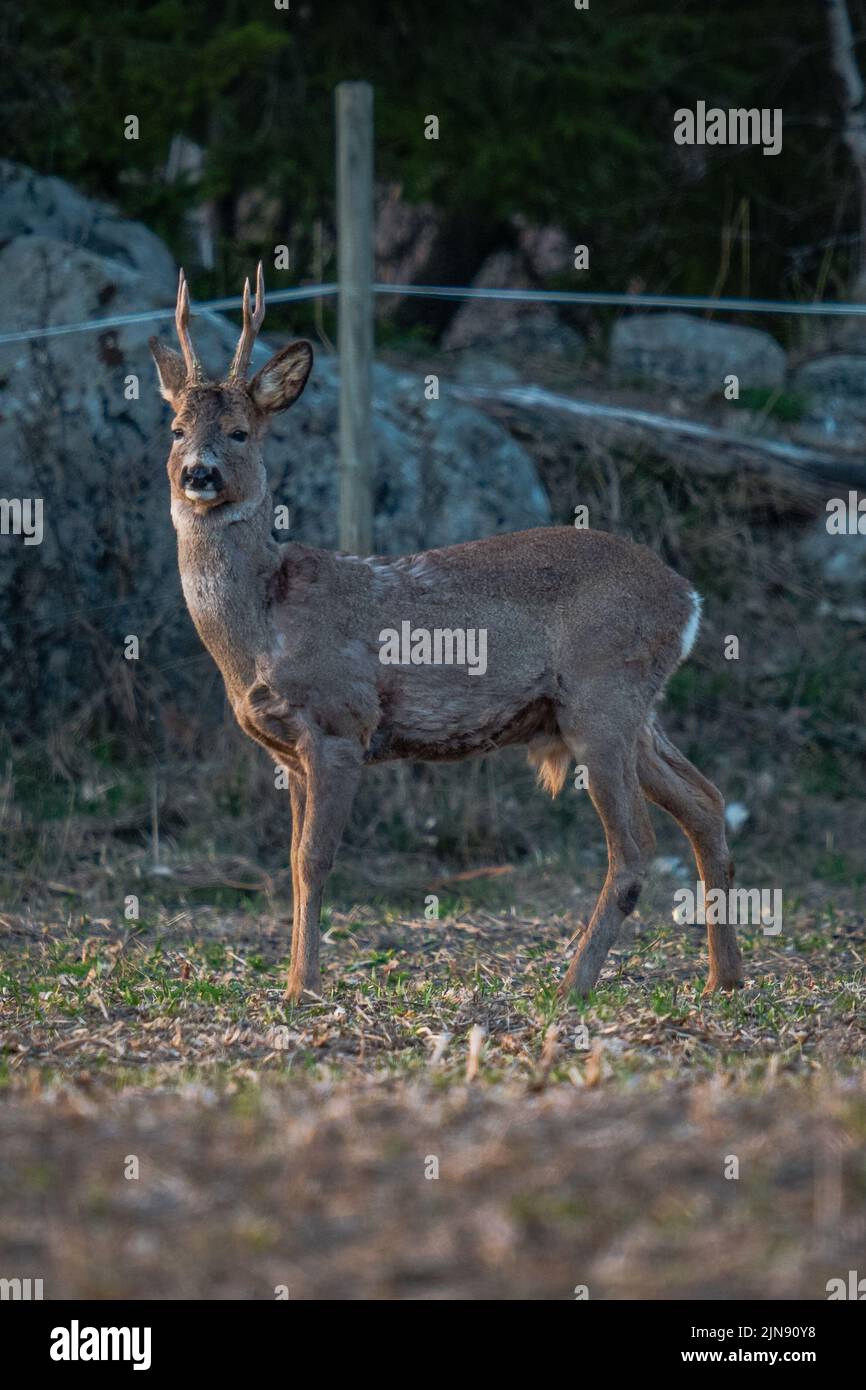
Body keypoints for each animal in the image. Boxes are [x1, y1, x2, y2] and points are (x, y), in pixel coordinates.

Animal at [149, 265, 745, 1004]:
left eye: (238, 432)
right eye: (176, 427)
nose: (197, 473)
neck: (262, 630)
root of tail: (687, 598)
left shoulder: (340, 721)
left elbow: (314, 861)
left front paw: (301, 990)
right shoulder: (288, 752)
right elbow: (289, 863)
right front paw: (294, 981)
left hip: (602, 691)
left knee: (634, 847)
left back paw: (573, 983)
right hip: (630, 706)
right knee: (706, 803)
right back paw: (724, 979)